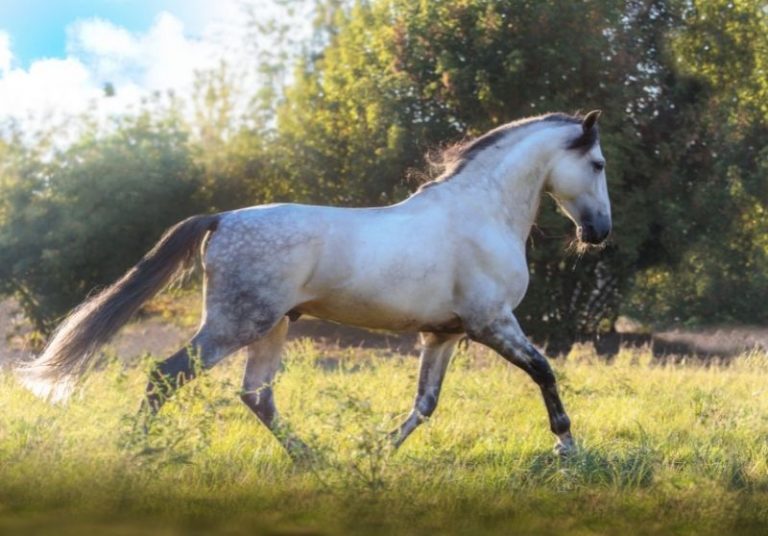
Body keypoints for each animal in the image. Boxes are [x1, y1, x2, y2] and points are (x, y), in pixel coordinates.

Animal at [19, 110, 611, 457]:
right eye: (600, 163)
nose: (599, 232)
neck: (482, 213)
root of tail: (222, 218)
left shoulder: (444, 334)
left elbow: (425, 403)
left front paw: (376, 453)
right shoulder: (493, 323)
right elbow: (544, 370)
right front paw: (567, 448)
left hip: (272, 326)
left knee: (256, 395)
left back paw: (310, 458)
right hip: (236, 324)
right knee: (167, 376)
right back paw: (136, 451)